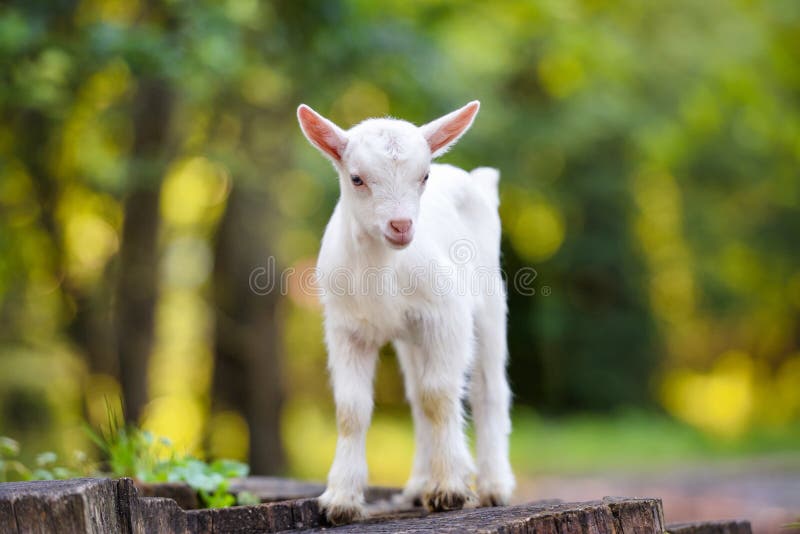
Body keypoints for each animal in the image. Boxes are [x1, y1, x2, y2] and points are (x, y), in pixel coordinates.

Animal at [296, 101, 514, 524]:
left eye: (424, 175)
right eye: (357, 178)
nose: (401, 226)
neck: (383, 269)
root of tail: (478, 182)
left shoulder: (446, 316)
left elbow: (439, 395)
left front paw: (449, 489)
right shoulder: (346, 329)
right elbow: (351, 409)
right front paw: (340, 499)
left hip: (490, 302)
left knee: (487, 388)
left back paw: (494, 486)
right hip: (410, 337)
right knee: (415, 394)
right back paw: (416, 486)